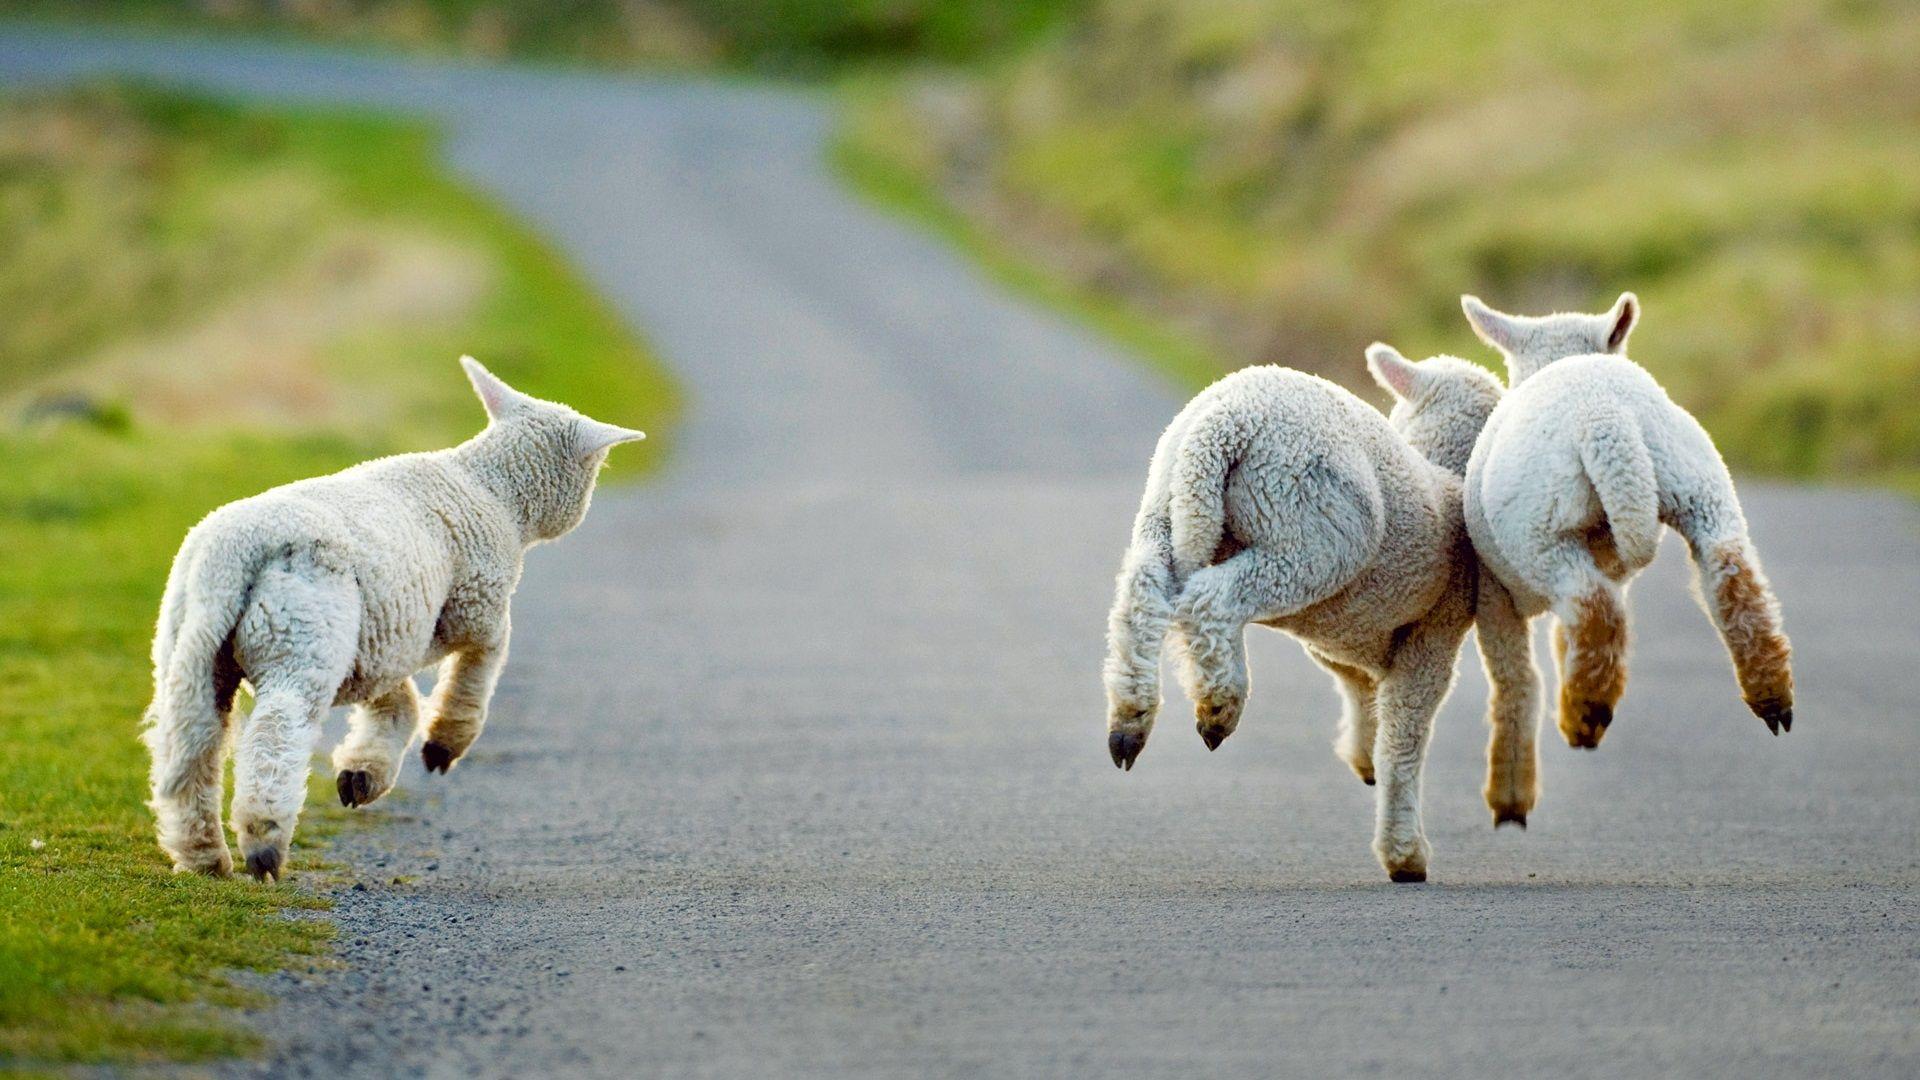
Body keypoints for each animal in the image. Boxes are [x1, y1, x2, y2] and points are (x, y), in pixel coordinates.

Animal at [143, 357, 645, 880]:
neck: (493, 491)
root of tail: (233, 554)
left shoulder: (384, 637)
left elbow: (397, 703)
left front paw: (362, 774)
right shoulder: (474, 606)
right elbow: (482, 662)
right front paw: (445, 742)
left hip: (192, 649)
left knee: (192, 745)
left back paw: (203, 857)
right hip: (303, 636)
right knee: (276, 732)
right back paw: (264, 844)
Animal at [1101, 347, 1515, 881]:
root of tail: (1220, 425)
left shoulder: (1342, 639)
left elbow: (1361, 691)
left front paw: (1364, 758)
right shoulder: (1434, 631)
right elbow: (1403, 736)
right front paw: (1404, 853)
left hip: (1165, 507)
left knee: (1143, 593)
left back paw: (1129, 721)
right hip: (1304, 529)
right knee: (1212, 598)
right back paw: (1219, 707)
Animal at [1459, 293, 1794, 752]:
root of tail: (1604, 416)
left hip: (1541, 530)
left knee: (1593, 606)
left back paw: (1585, 713)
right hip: (1698, 482)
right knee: (1731, 573)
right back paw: (1771, 694)